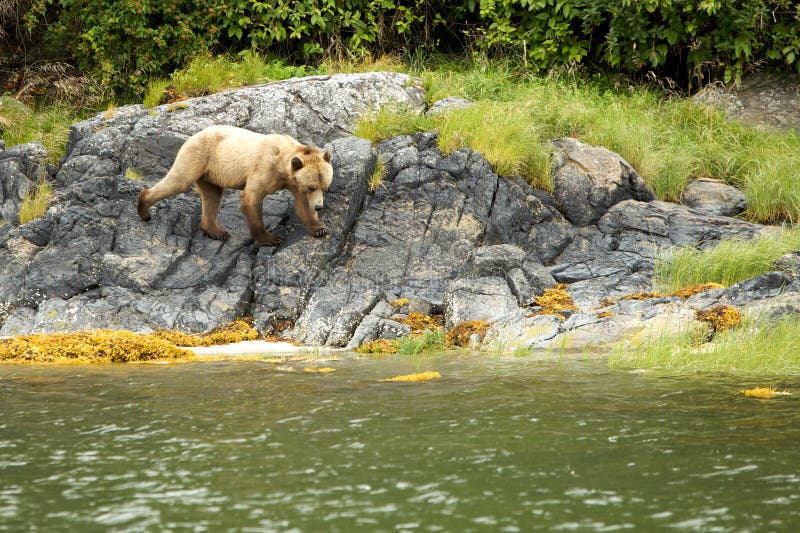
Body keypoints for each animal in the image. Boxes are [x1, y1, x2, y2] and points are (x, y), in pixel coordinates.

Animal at [136, 125, 333, 246]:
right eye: (311, 186)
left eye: (324, 187)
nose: (319, 206)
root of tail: (193, 136)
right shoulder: (264, 168)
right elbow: (251, 197)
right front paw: (271, 238)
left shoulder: (294, 183)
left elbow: (303, 205)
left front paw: (319, 228)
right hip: (197, 156)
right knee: (179, 181)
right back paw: (144, 209)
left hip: (210, 173)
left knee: (212, 196)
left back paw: (216, 230)